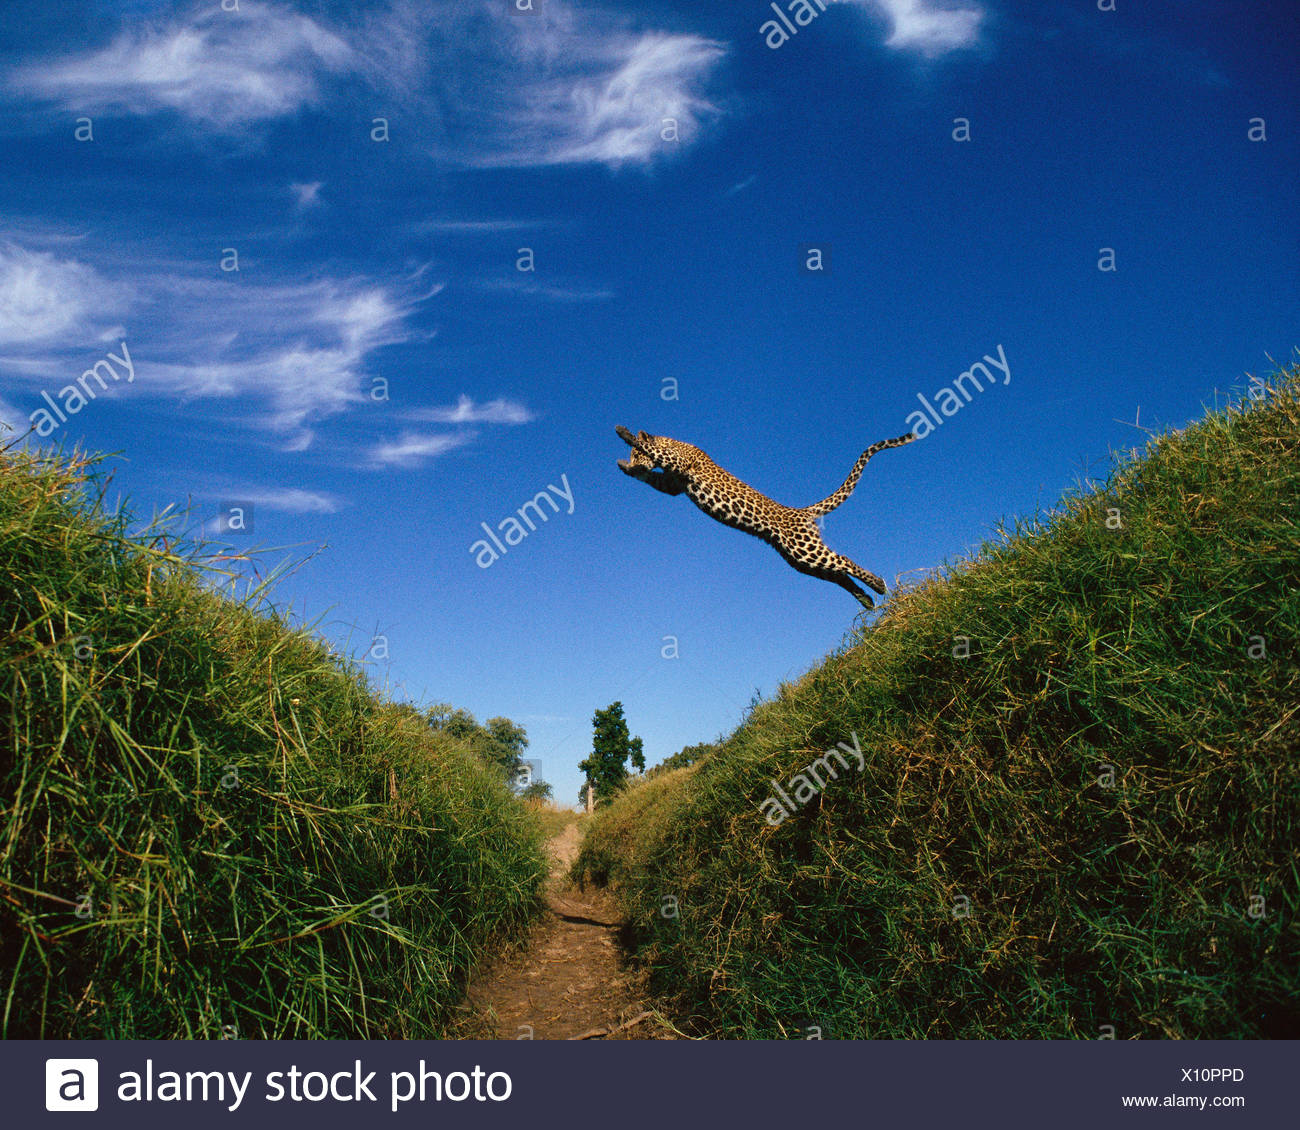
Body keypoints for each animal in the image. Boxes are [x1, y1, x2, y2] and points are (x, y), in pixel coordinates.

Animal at [615, 424, 917, 608]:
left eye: (636, 453)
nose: (632, 460)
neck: (673, 441)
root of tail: (800, 511)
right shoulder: (673, 484)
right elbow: (652, 479)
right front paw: (626, 467)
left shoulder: (677, 462)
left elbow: (653, 450)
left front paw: (625, 435)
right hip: (799, 560)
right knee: (839, 575)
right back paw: (867, 599)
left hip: (805, 548)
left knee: (843, 560)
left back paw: (878, 585)